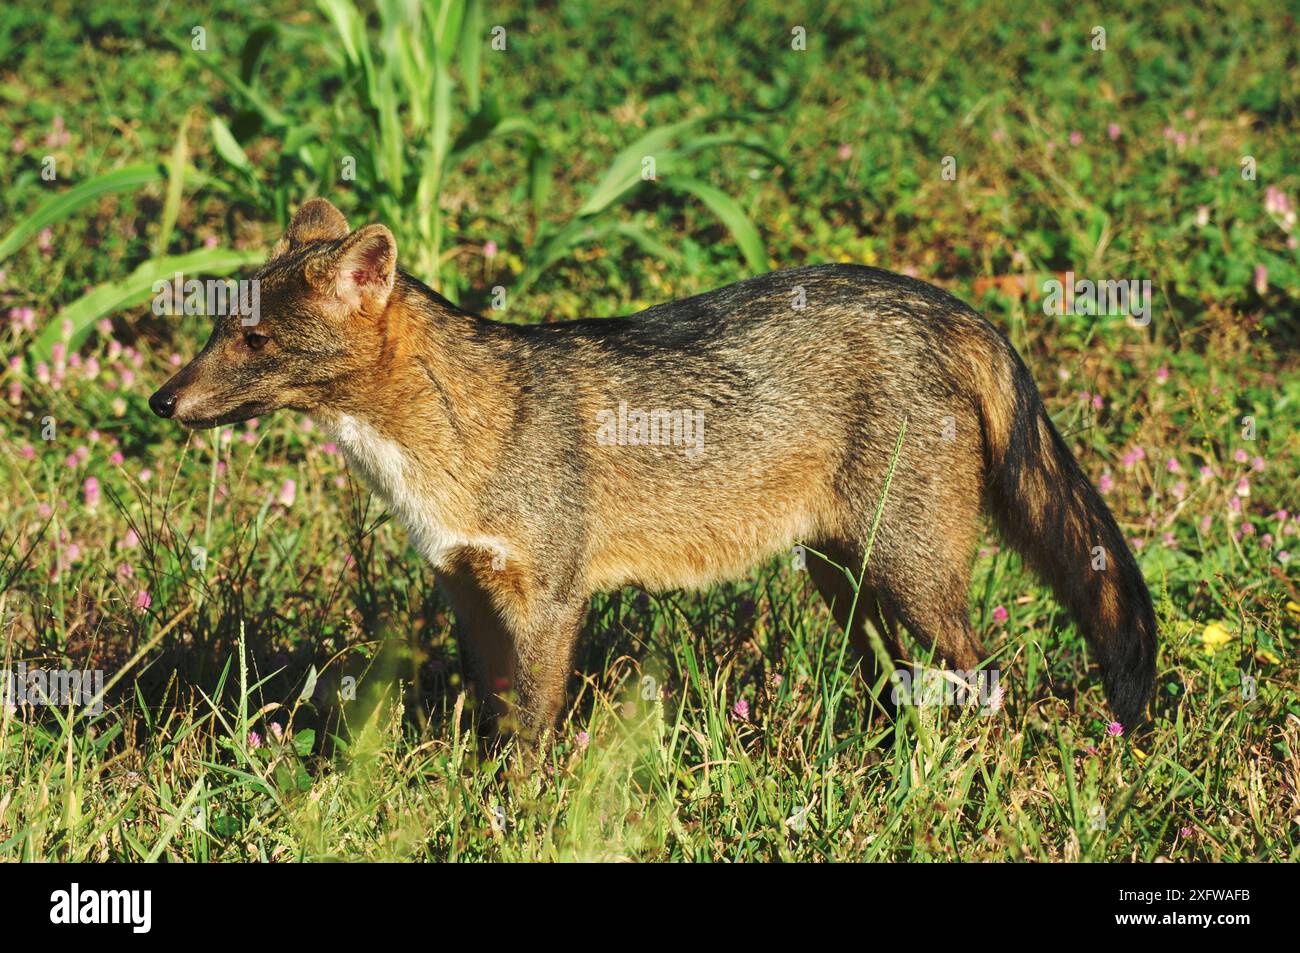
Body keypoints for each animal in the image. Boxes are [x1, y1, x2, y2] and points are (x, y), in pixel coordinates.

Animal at [149, 198, 1157, 743]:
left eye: (253, 342)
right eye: (218, 328)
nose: (162, 400)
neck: (453, 439)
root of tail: (943, 300)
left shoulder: (551, 599)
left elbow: (535, 728)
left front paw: (524, 813)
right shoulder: (466, 587)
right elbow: (495, 714)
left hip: (910, 577)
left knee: (983, 684)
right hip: (846, 580)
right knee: (895, 683)